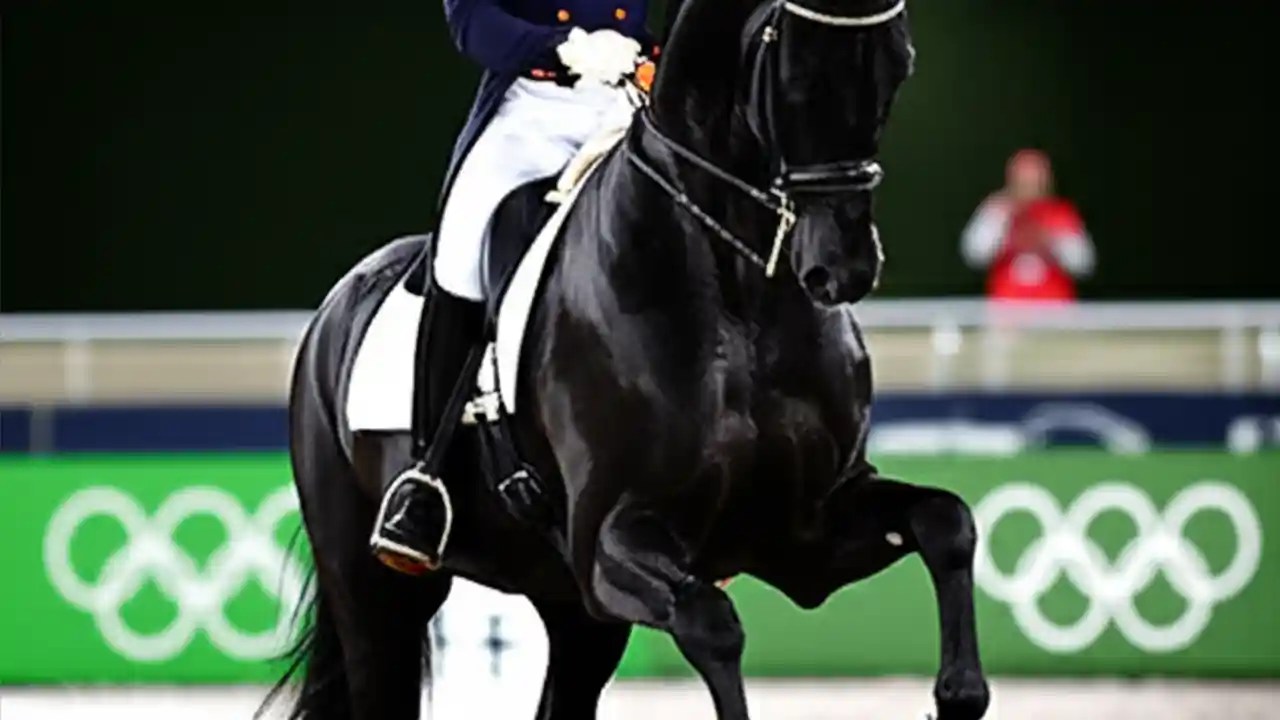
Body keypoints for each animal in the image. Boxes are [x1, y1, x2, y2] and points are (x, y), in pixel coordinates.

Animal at [274, 0, 990, 717]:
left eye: (899, 64)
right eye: (792, 67)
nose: (843, 268)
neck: (740, 299)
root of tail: (338, 305)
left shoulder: (805, 532)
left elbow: (947, 520)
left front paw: (958, 693)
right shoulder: (610, 539)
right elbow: (712, 623)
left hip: (570, 606)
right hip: (376, 592)